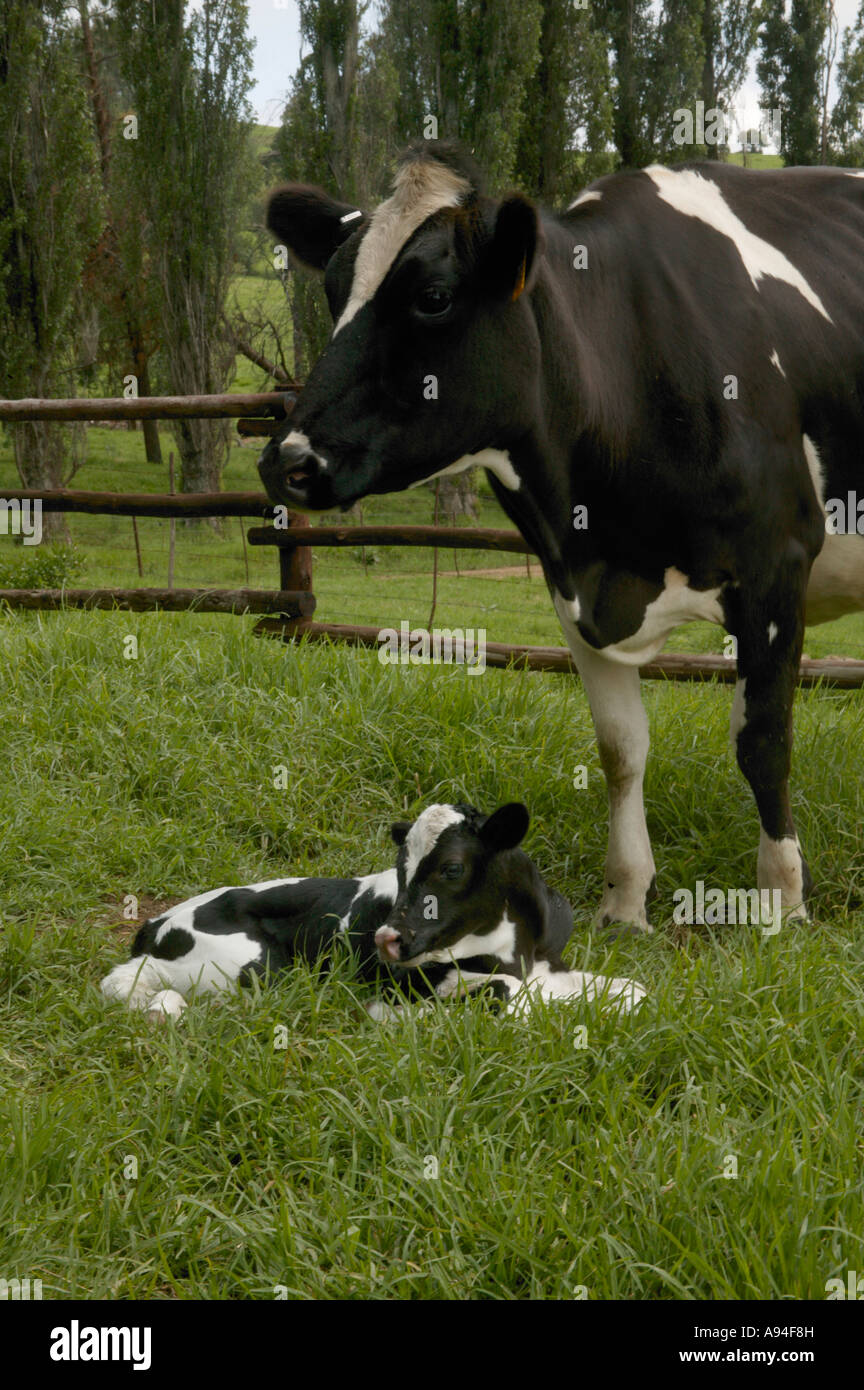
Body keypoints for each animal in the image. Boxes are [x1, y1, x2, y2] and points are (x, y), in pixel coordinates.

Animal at [100, 802, 646, 1018]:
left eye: (451, 868)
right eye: (400, 869)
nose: (386, 938)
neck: (518, 950)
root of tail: (158, 920)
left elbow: (637, 991)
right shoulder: (409, 978)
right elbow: (503, 993)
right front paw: (390, 1017)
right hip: (252, 967)